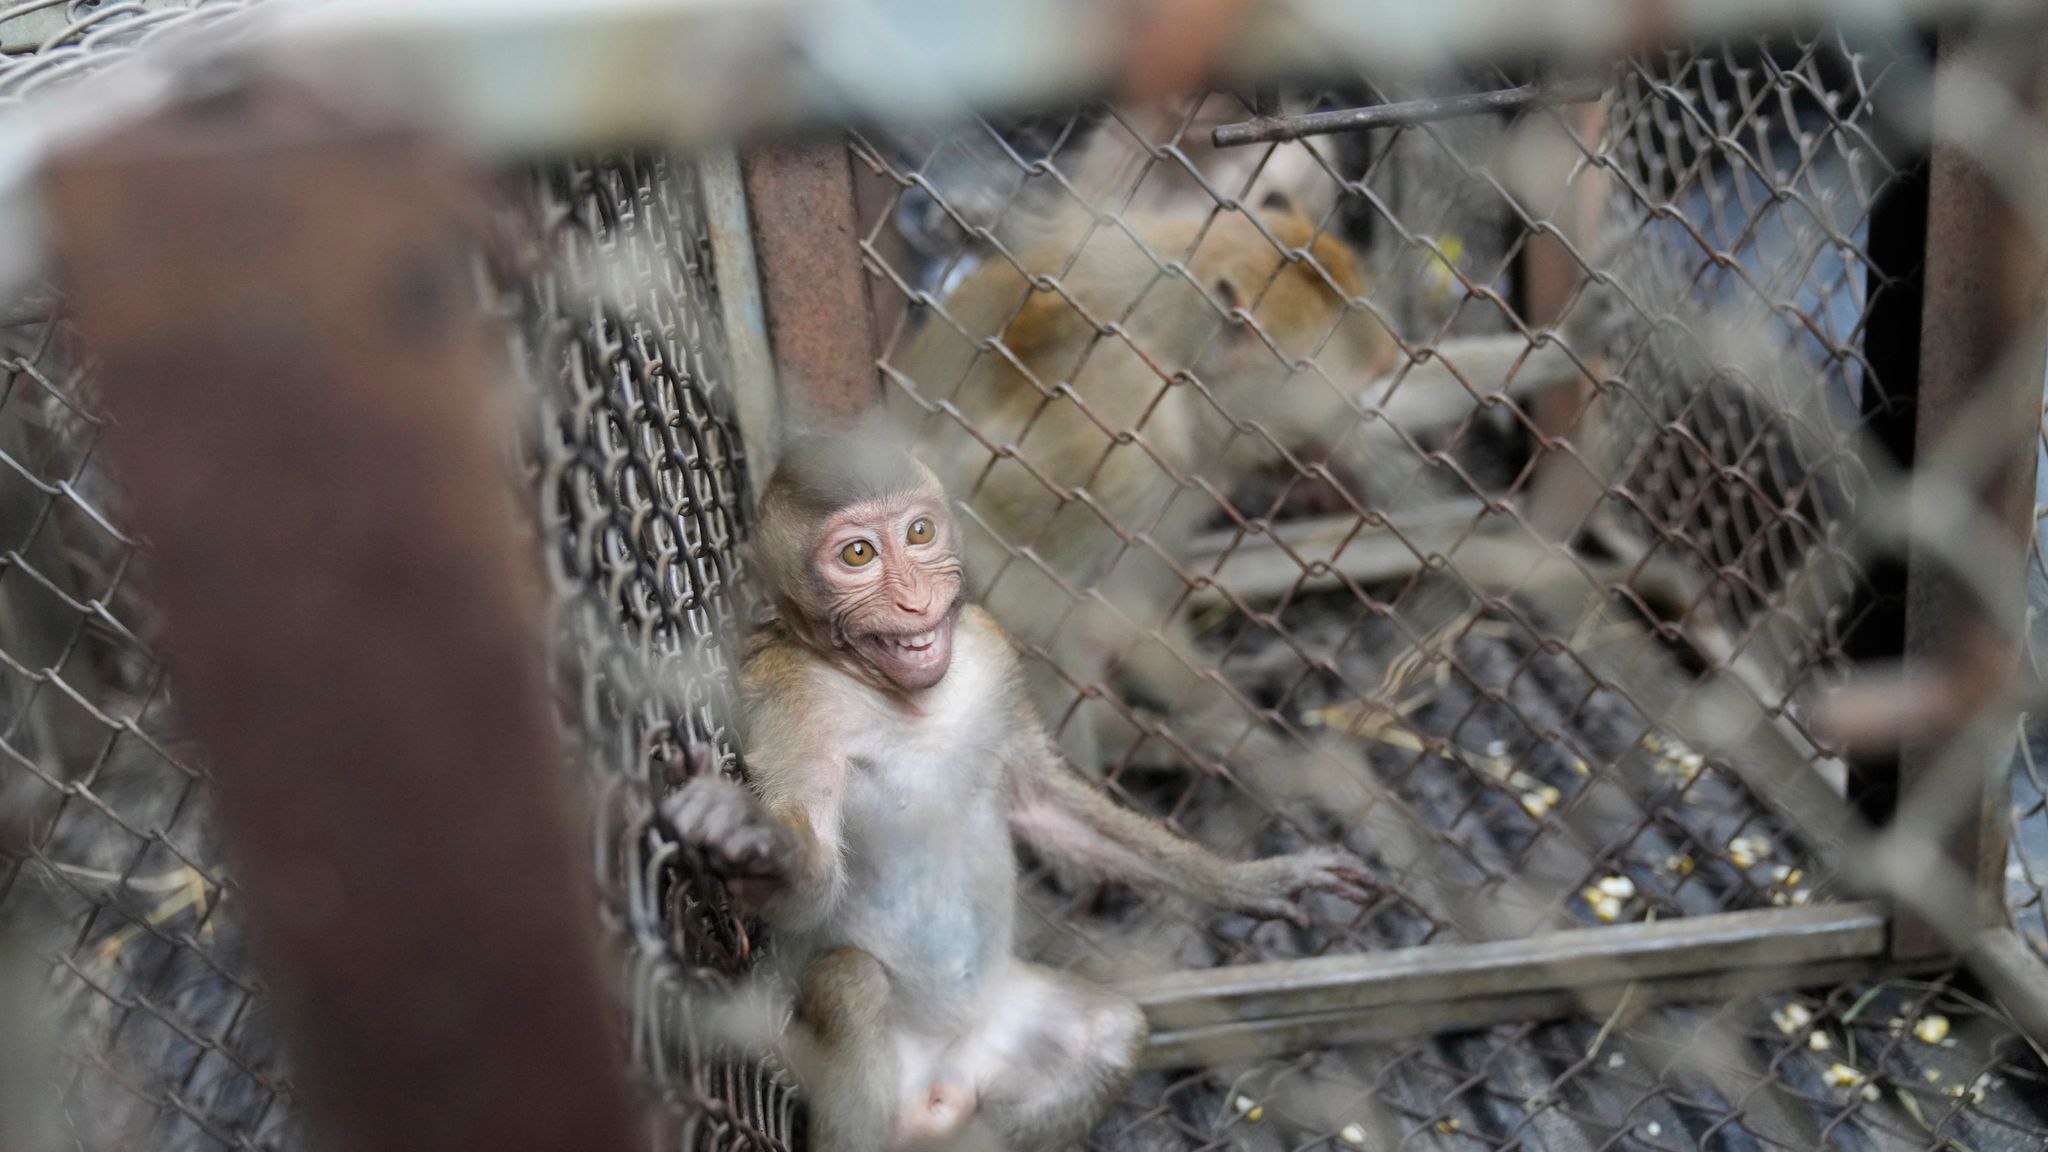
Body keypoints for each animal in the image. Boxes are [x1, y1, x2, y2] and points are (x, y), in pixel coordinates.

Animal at [662, 434, 1373, 1152]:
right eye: (857, 554)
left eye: (919, 533)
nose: (915, 599)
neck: (909, 704)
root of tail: (937, 1089)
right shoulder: (790, 700)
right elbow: (809, 893)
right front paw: (755, 843)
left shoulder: (989, 653)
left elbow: (1044, 803)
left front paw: (1246, 882)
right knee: (849, 980)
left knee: (1111, 1035)